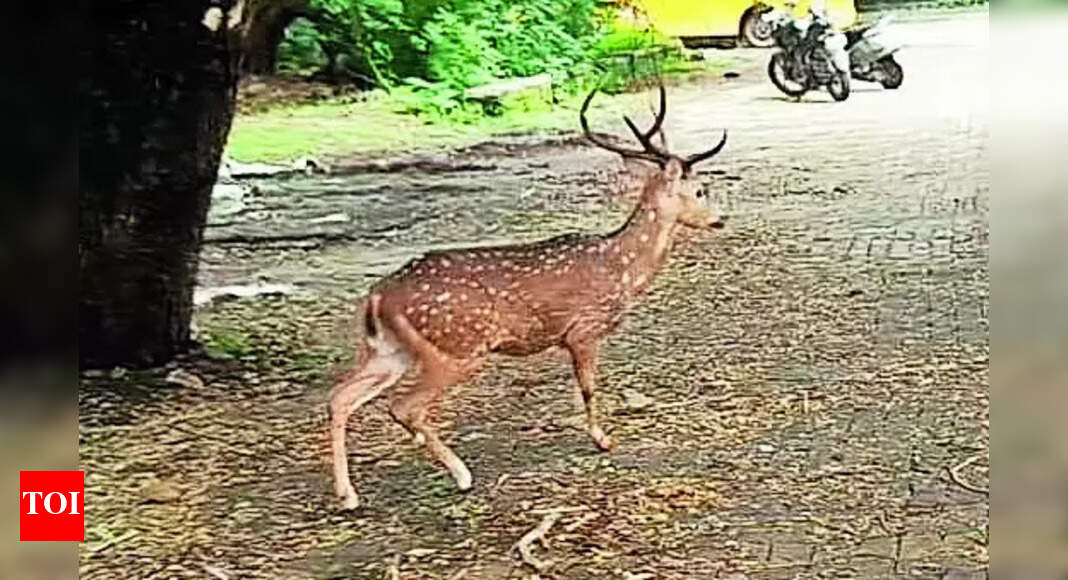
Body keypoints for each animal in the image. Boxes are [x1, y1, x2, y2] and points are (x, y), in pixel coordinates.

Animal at [328, 85, 728, 509]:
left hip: (391, 351)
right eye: (701, 190)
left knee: (340, 397)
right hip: (457, 346)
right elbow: (588, 387)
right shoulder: (584, 329)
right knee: (404, 406)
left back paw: (348, 495)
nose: (719, 219)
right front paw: (602, 440)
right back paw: (461, 475)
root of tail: (377, 297)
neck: (622, 267)